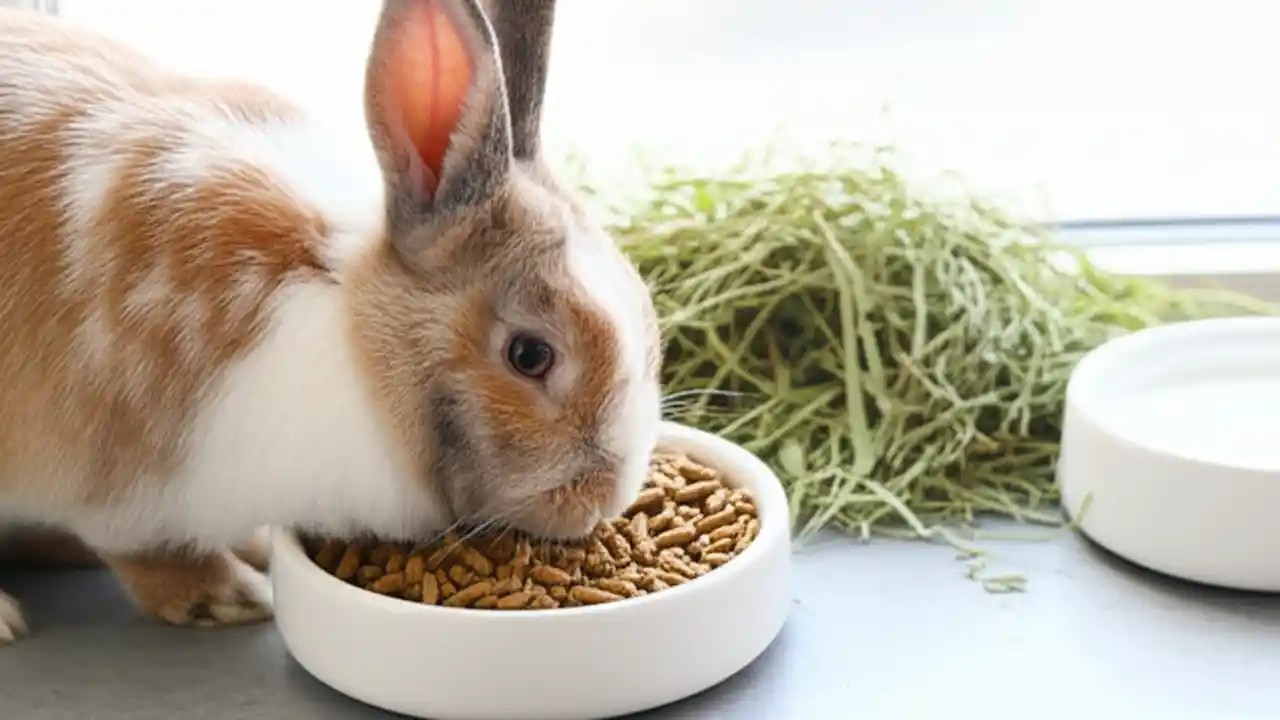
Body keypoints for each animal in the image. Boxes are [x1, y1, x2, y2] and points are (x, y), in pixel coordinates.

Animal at [0, 0, 662, 643]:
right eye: (529, 355)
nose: (608, 498)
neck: (352, 338)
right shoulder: (126, 482)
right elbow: (149, 552)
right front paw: (231, 596)